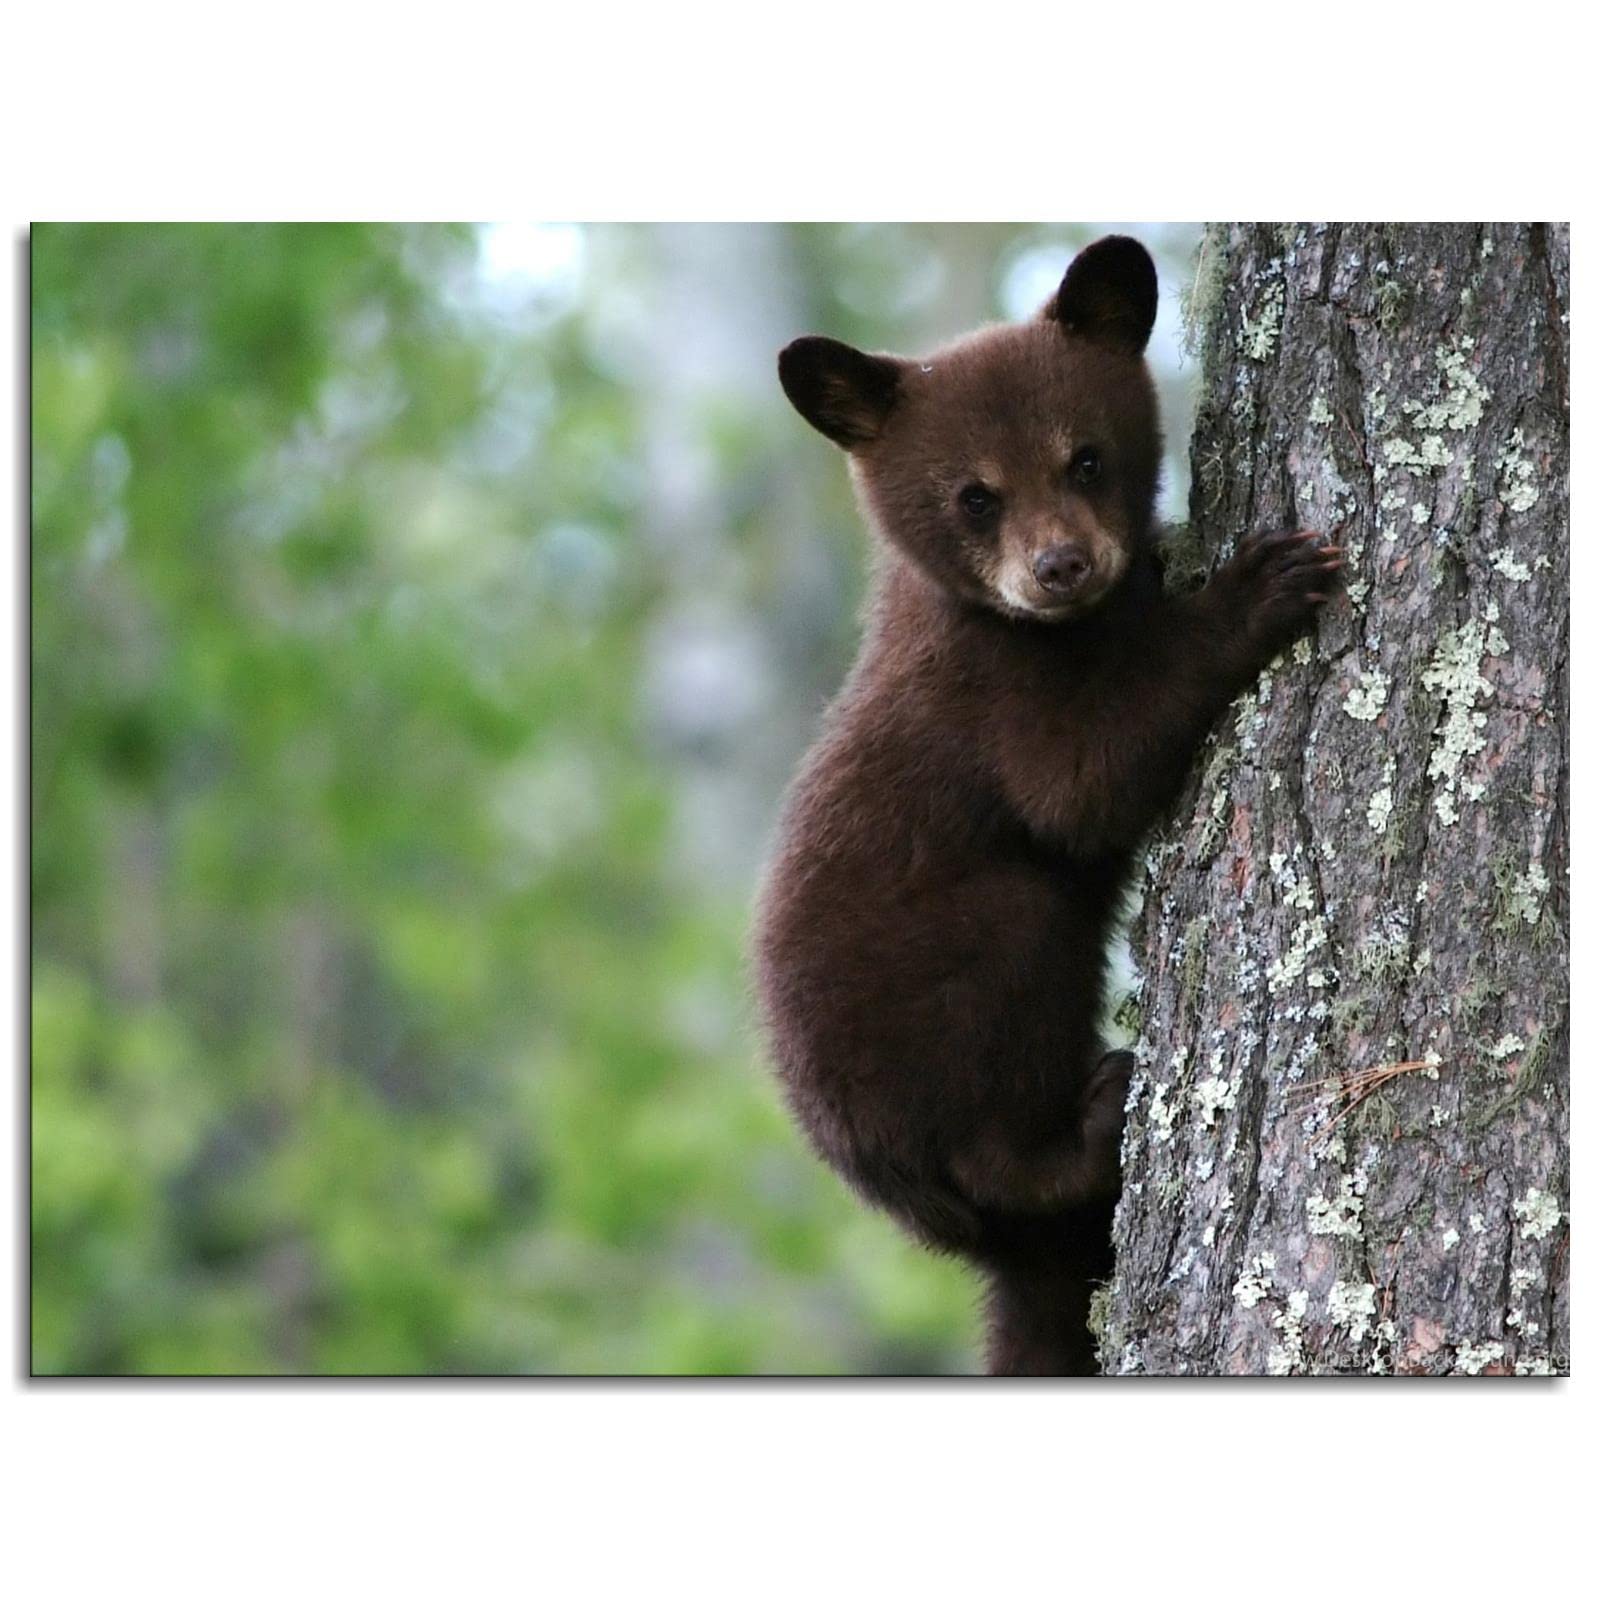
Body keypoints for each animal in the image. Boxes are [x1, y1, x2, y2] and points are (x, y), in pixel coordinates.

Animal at [751, 235, 1341, 1375]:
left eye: (1087, 458)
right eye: (974, 496)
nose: (1061, 565)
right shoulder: (987, 695)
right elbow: (1081, 782)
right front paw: (1261, 585)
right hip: (950, 992)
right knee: (1001, 1081)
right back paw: (1096, 1116)